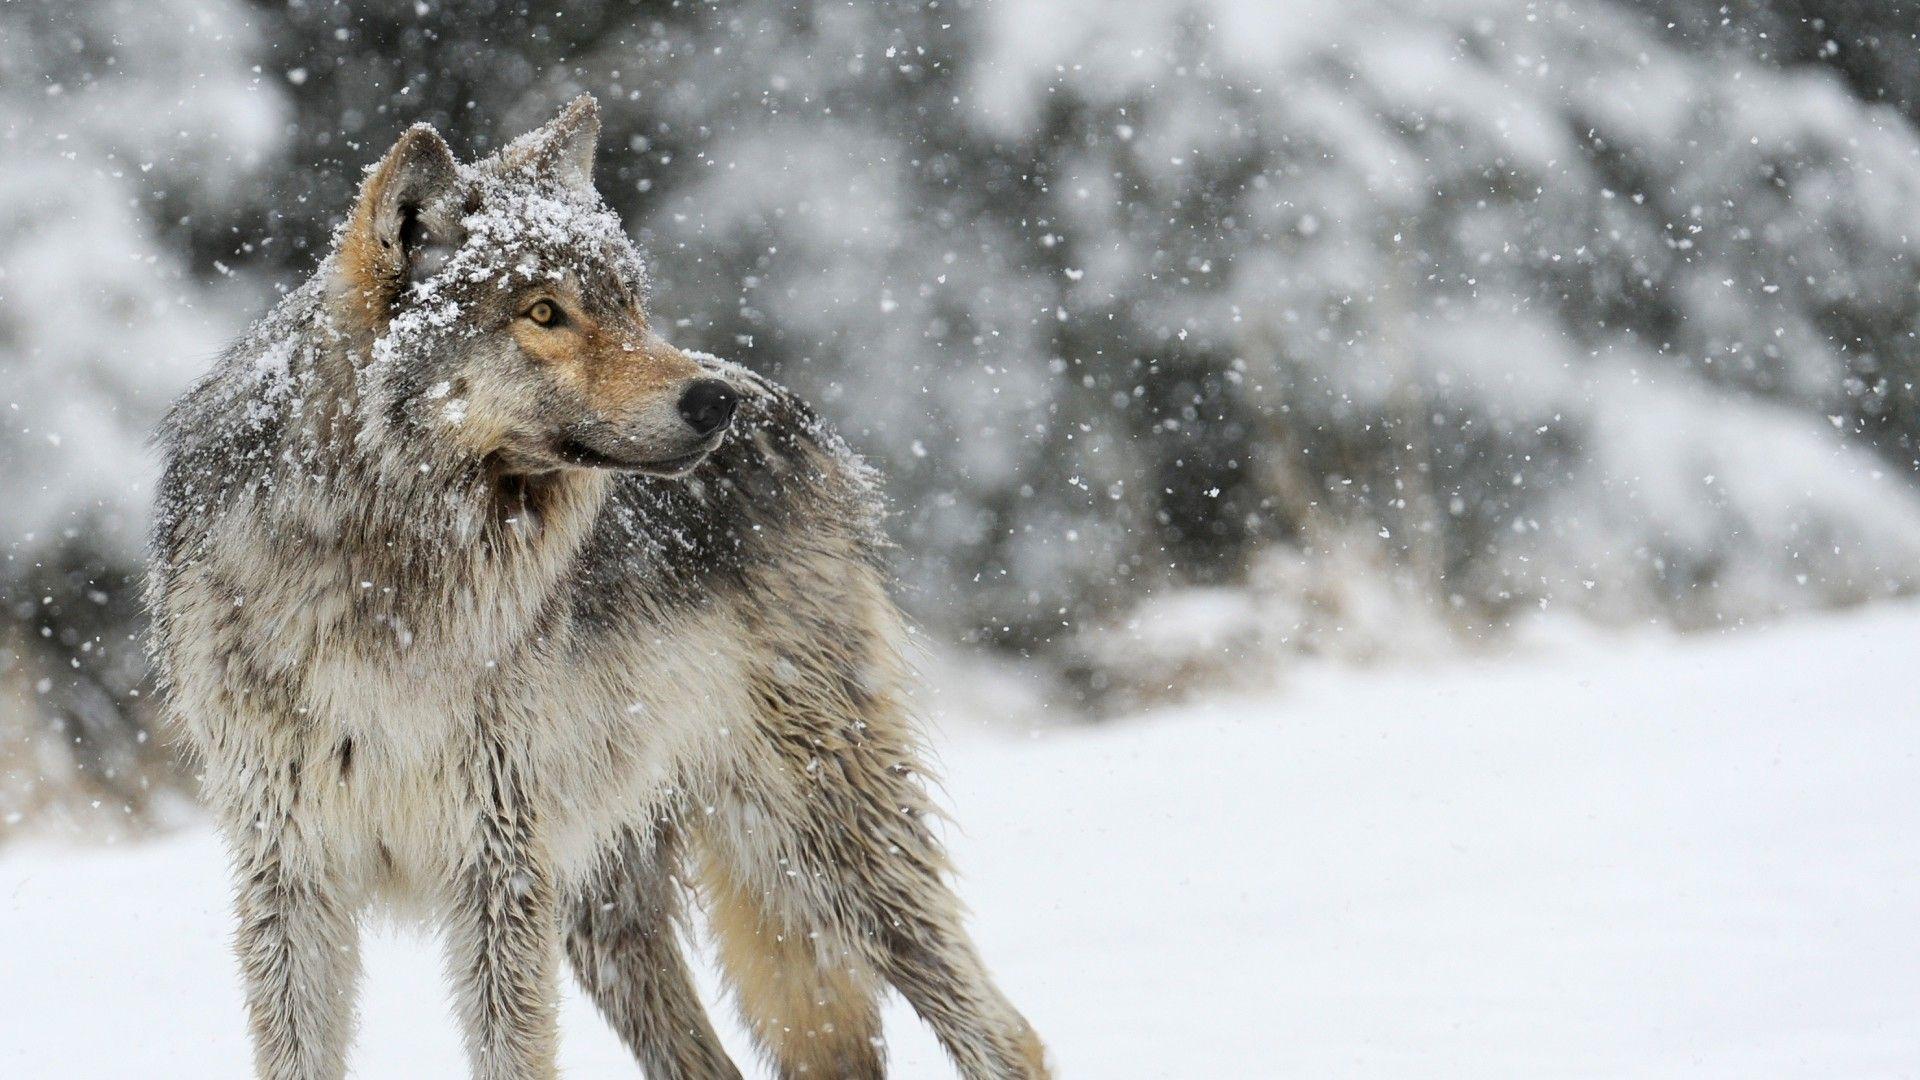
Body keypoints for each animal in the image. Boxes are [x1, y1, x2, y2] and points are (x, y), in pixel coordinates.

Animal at [146, 96, 1048, 1080]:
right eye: (545, 311)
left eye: (630, 302)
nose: (712, 404)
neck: (388, 574)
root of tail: (790, 411)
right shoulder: (293, 876)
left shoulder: (497, 868)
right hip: (605, 913)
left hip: (820, 842)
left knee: (1008, 1032)